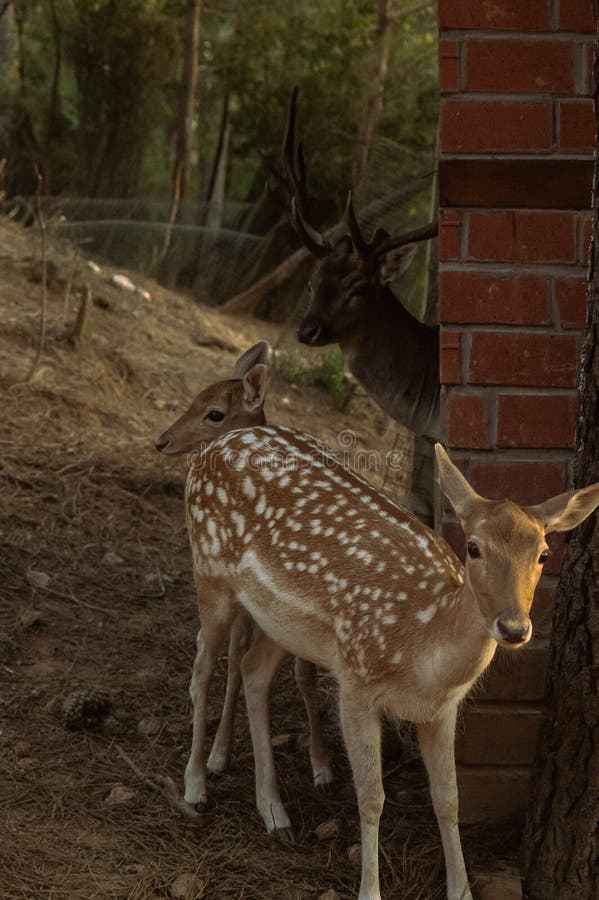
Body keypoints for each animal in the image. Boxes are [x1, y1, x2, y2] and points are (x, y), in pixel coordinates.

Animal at [155, 341, 333, 789]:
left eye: (215, 412)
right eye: (194, 396)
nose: (161, 441)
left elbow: (303, 674)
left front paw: (322, 764)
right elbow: (236, 663)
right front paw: (219, 755)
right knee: (225, 658)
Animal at [181, 421, 599, 899]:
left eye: (544, 554)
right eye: (473, 547)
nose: (514, 628)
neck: (421, 653)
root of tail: (218, 443)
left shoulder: (443, 710)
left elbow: (449, 799)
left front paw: (461, 890)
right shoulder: (356, 682)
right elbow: (372, 798)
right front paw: (370, 891)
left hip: (280, 622)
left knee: (253, 670)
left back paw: (274, 812)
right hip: (209, 571)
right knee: (202, 667)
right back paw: (195, 787)